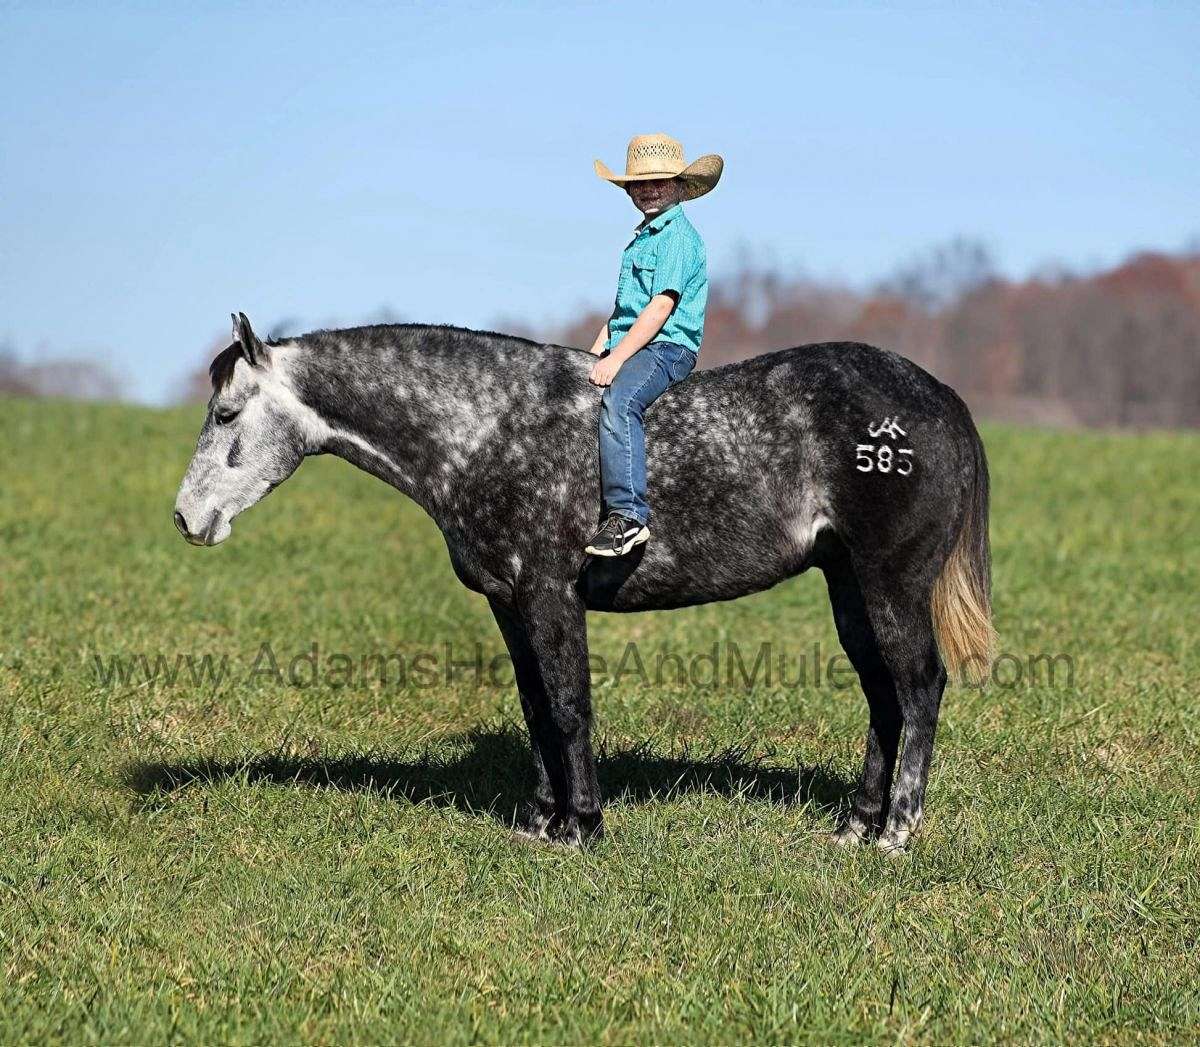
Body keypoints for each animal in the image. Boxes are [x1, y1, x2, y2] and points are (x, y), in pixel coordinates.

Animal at [174, 312, 996, 852]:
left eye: (226, 413)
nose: (186, 517)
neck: (490, 428)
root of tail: (938, 396)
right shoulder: (509, 604)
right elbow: (537, 707)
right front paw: (542, 819)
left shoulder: (549, 593)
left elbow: (570, 707)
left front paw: (585, 826)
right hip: (849, 587)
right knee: (883, 697)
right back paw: (856, 823)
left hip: (890, 585)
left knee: (920, 687)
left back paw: (896, 831)